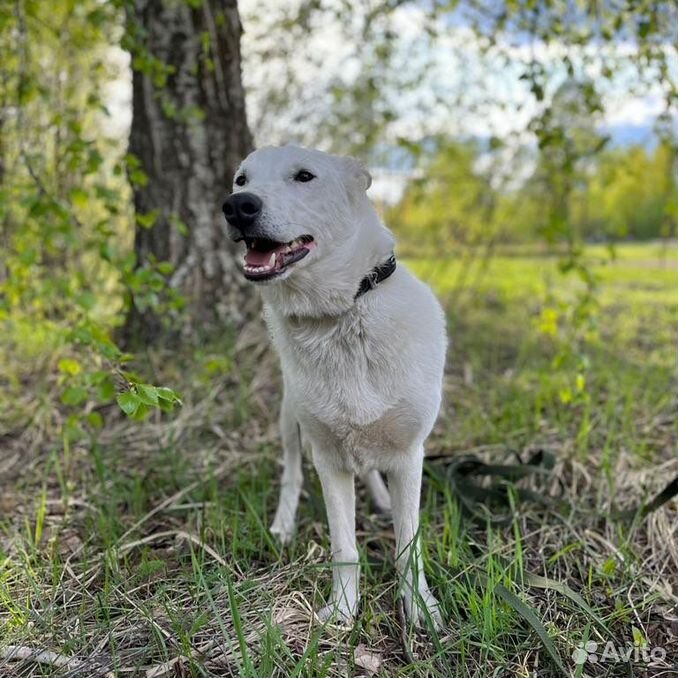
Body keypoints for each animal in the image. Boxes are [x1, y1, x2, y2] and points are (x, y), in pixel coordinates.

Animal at [223, 146, 446, 628]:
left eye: (305, 176)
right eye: (241, 179)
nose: (237, 206)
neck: (341, 316)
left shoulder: (409, 455)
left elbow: (408, 548)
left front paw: (419, 609)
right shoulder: (328, 459)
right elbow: (345, 548)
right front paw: (343, 612)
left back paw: (380, 499)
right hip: (290, 420)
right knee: (291, 473)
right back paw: (283, 524)